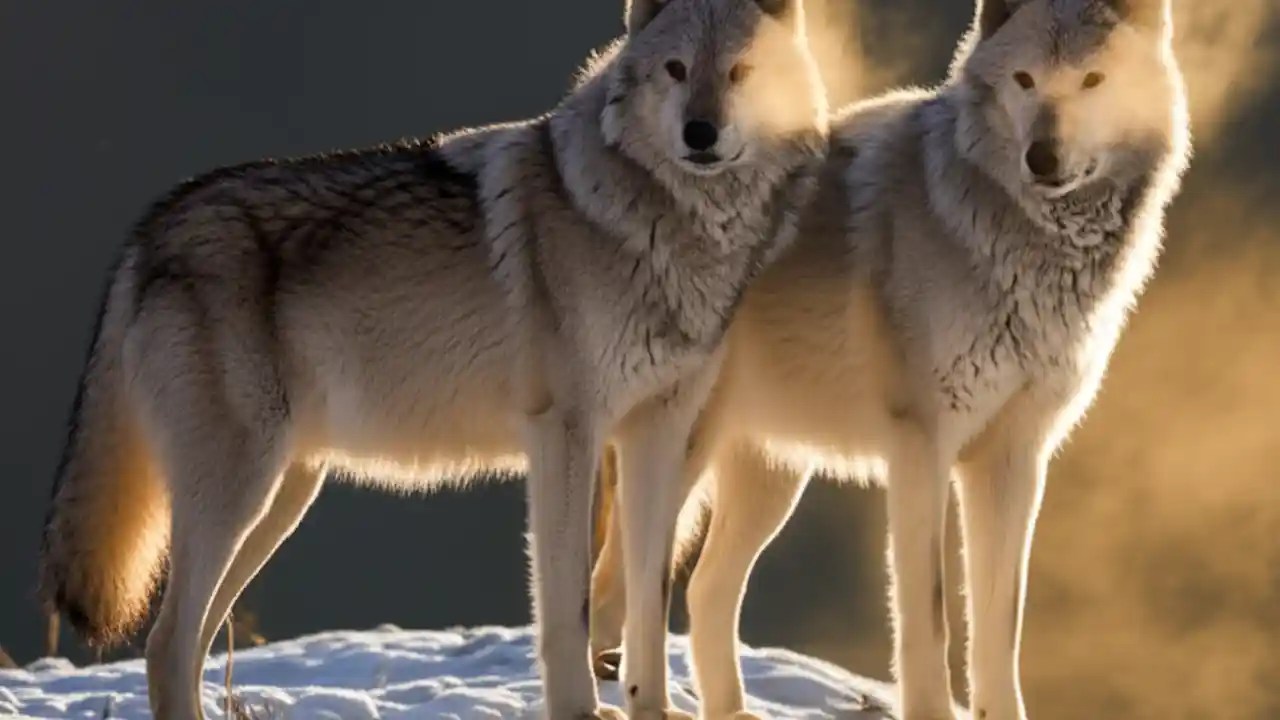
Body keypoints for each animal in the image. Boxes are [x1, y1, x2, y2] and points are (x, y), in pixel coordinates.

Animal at [38, 1, 829, 718]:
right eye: (676, 70)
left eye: (740, 71)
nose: (702, 134)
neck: (664, 228)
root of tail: (149, 230)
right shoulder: (566, 436)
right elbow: (569, 609)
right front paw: (580, 709)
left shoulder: (658, 437)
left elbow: (646, 598)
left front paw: (651, 707)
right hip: (242, 492)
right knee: (166, 645)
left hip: (279, 498)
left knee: (191, 642)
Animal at [590, 1, 1190, 718]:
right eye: (1024, 80)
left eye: (1092, 80)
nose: (1041, 156)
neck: (1015, 247)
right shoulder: (920, 450)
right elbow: (927, 616)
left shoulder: (1014, 458)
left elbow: (1001, 624)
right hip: (684, 459)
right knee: (611, 592)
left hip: (772, 478)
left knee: (703, 591)